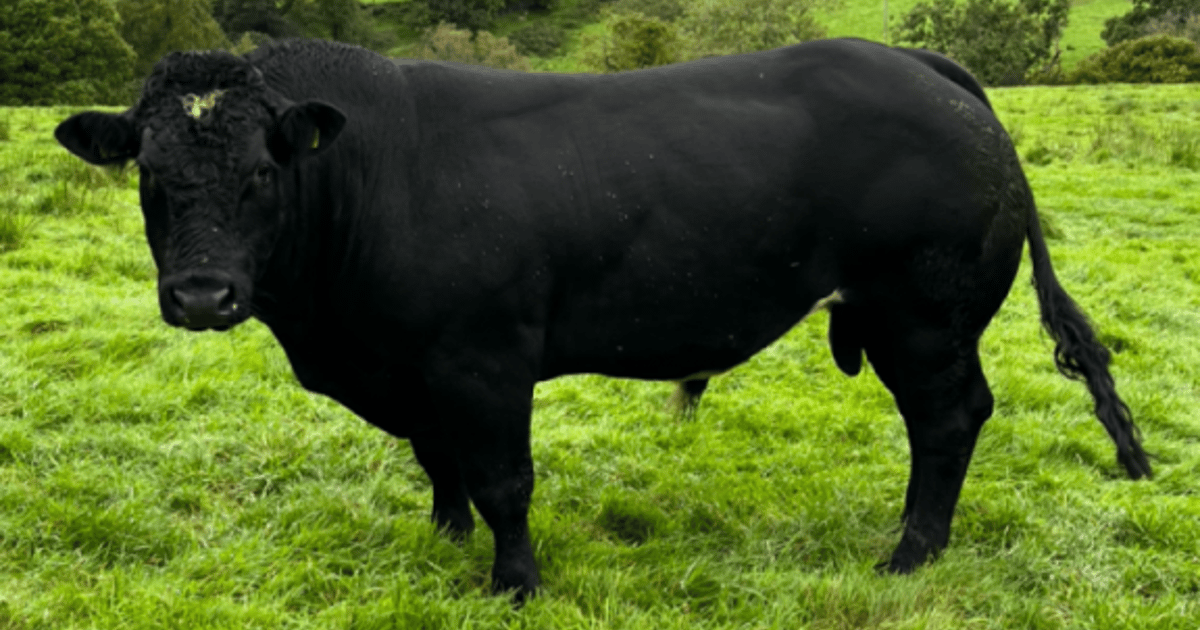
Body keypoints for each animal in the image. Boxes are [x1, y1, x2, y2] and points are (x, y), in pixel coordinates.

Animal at [54, 37, 1150, 599]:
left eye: (261, 172)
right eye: (149, 173)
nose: (203, 296)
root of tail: (918, 62)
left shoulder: (485, 359)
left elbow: (502, 480)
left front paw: (514, 583)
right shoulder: (414, 368)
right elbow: (440, 463)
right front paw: (446, 539)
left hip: (919, 315)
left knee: (949, 420)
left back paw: (910, 554)